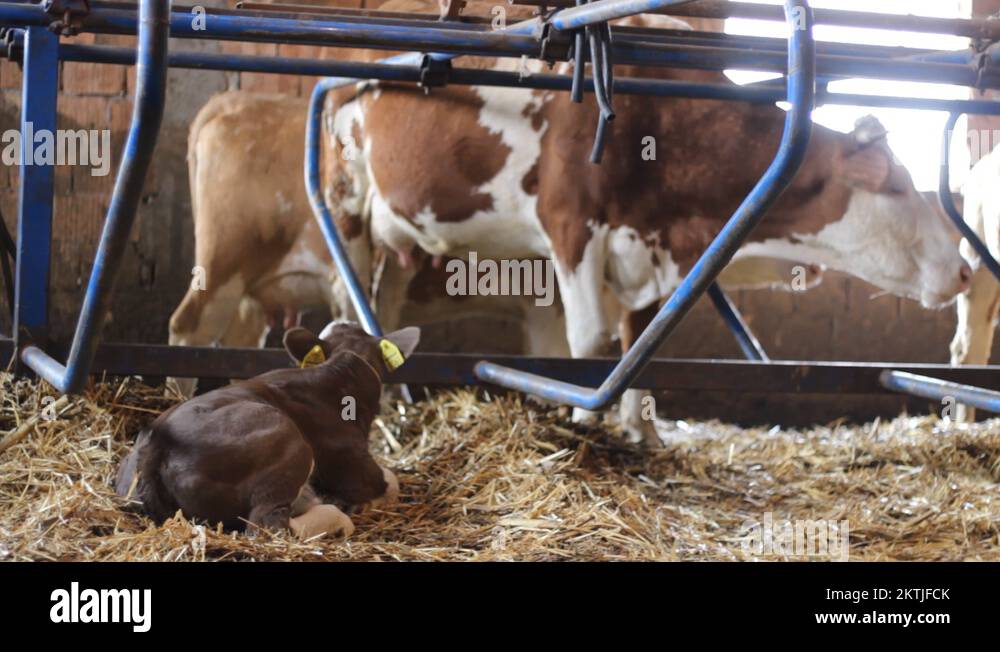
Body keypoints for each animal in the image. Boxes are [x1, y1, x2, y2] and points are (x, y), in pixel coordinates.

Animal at [117, 322, 420, 538]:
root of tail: (156, 445)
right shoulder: (353, 463)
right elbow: (391, 481)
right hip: (285, 436)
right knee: (268, 526)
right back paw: (336, 519)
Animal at [322, 0, 972, 447]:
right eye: (897, 183)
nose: (966, 271)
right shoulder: (570, 221)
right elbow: (591, 340)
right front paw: (584, 418)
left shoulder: (654, 246)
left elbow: (641, 338)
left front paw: (643, 431)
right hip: (345, 201)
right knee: (349, 296)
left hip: (405, 238)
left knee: (387, 300)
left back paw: (396, 392)